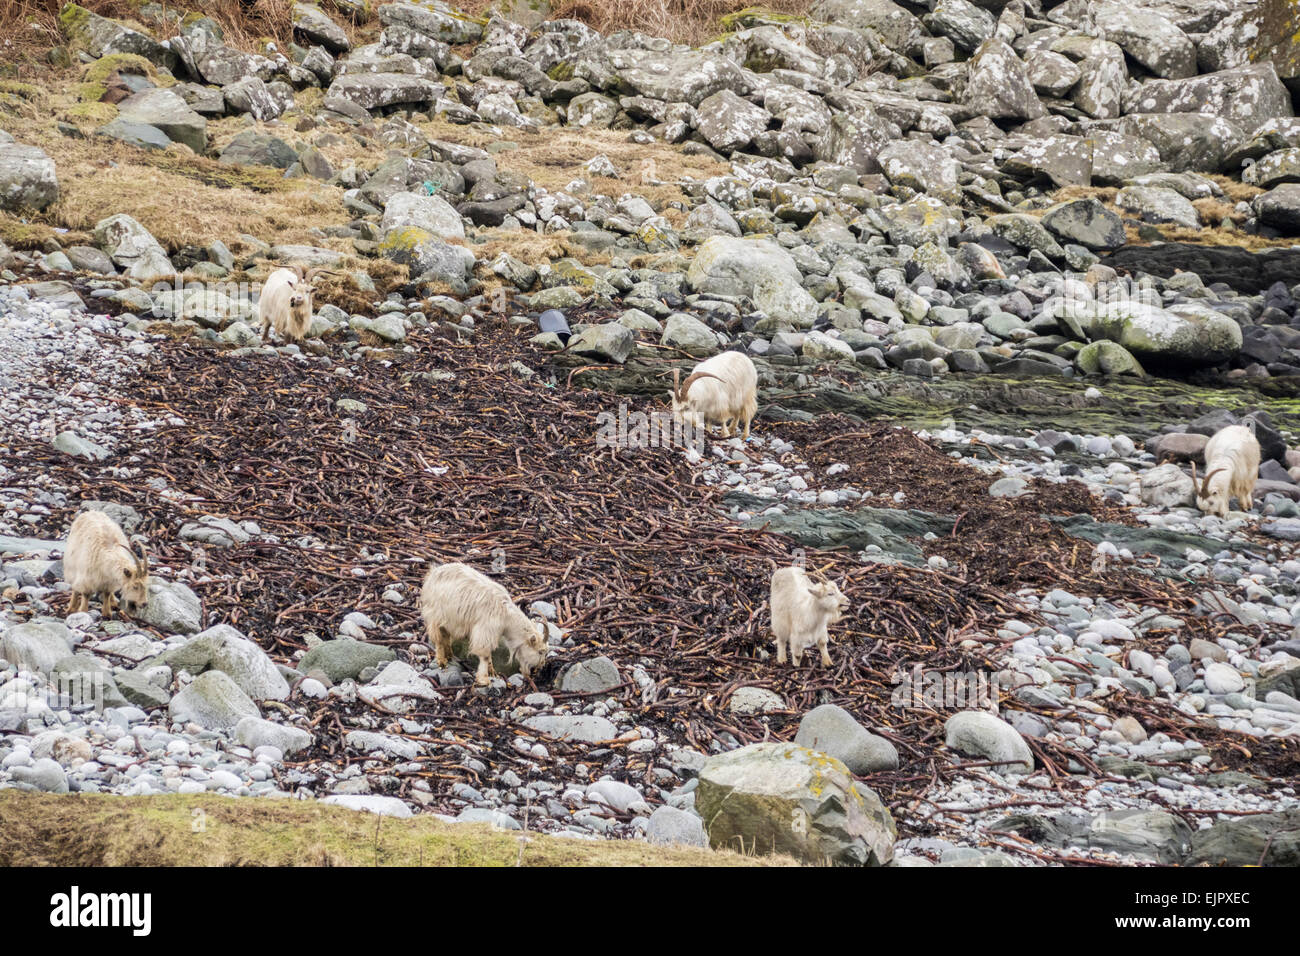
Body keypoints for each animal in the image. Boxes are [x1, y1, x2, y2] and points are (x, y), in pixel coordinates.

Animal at [418, 561, 549, 686]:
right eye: (540, 651)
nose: (541, 666)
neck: (506, 615)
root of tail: (432, 573)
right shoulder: (485, 630)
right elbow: (485, 655)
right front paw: (484, 680)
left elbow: (489, 654)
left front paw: (492, 672)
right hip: (435, 615)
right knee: (438, 638)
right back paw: (442, 661)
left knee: (446, 635)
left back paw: (449, 655)